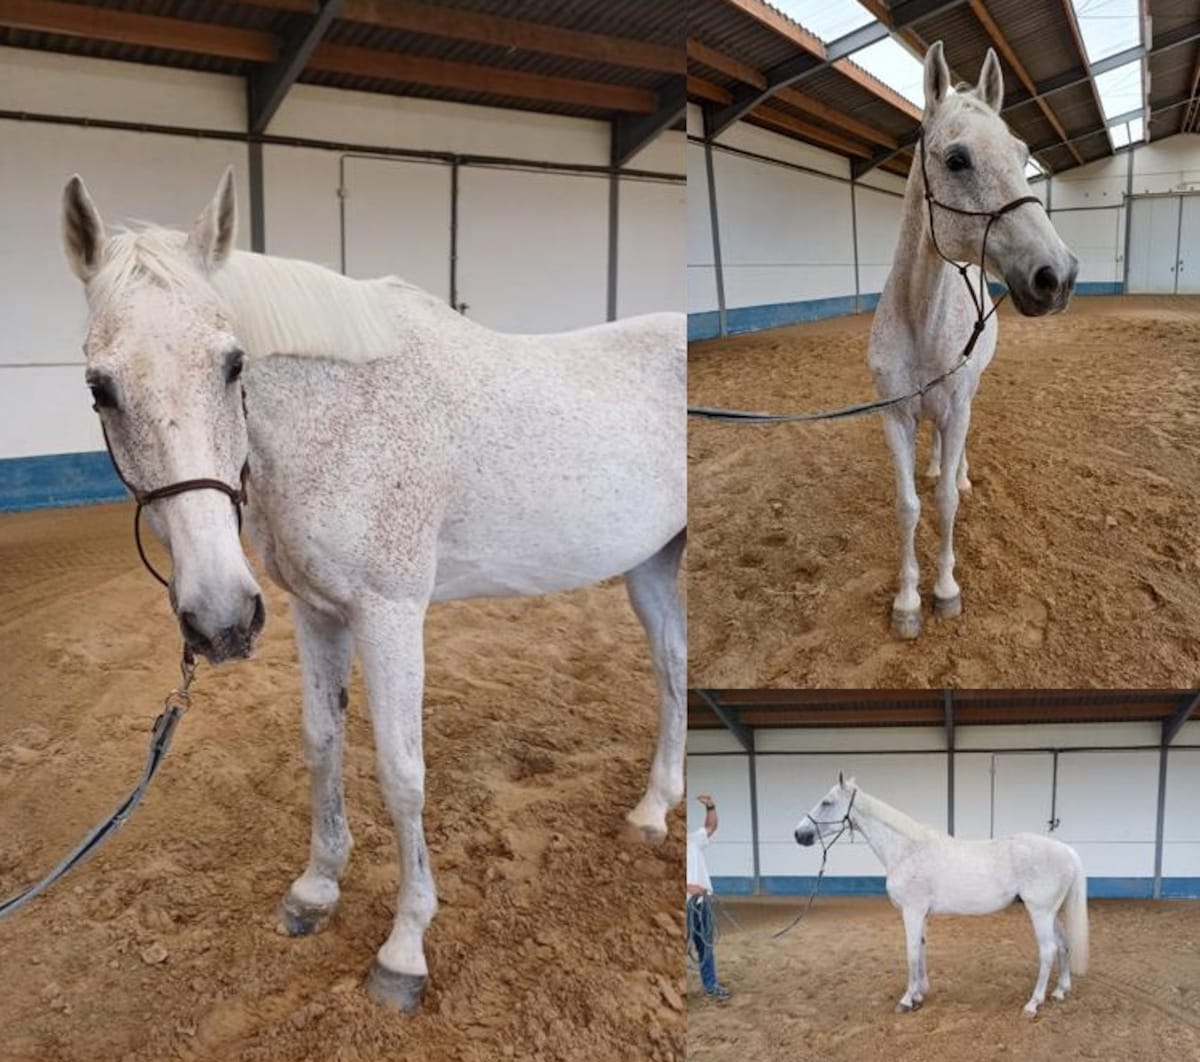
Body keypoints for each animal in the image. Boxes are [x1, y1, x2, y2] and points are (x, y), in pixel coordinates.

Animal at [59, 169, 685, 1012]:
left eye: (233, 365)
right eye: (101, 388)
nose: (221, 619)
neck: (341, 414)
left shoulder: (391, 614)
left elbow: (401, 772)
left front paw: (404, 948)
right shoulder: (316, 612)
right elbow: (323, 742)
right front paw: (317, 889)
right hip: (652, 564)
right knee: (673, 667)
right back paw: (654, 809)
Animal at [794, 775, 1089, 1016]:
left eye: (826, 802)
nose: (799, 834)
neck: (907, 850)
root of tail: (1066, 850)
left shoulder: (912, 911)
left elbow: (911, 952)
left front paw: (906, 1000)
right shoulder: (921, 913)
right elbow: (922, 948)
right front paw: (919, 994)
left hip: (1040, 912)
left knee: (1048, 951)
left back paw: (1033, 1004)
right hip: (1051, 913)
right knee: (1063, 945)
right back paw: (1060, 991)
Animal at [868, 42, 1078, 639]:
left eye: (1022, 153)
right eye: (957, 159)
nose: (1057, 276)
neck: (920, 321)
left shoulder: (957, 403)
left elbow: (942, 503)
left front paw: (944, 590)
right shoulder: (895, 415)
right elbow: (908, 505)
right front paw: (907, 603)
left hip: (967, 395)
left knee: (955, 448)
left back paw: (958, 474)